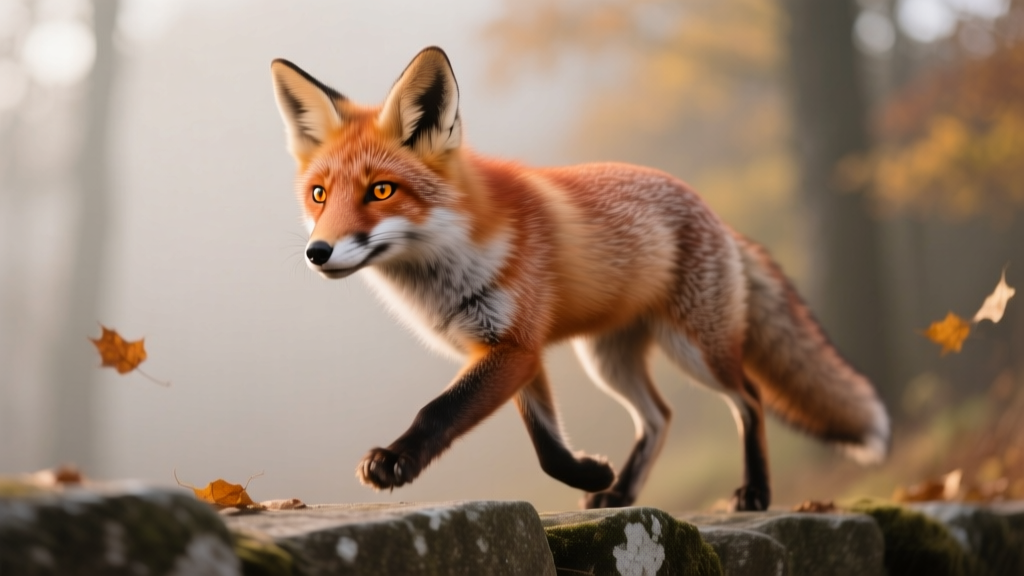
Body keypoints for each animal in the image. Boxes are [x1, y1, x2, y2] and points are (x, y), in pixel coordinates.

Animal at [269, 46, 890, 511]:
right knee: (659, 416)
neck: (445, 265)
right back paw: (621, 493)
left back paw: (755, 491)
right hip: (608, 360)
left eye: (381, 190)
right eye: (319, 194)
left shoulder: (513, 345)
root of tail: (714, 213)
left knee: (751, 400)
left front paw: (396, 461)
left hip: (696, 350)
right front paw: (592, 476)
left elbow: (438, 410)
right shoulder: (513, 350)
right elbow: (548, 449)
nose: (318, 252)